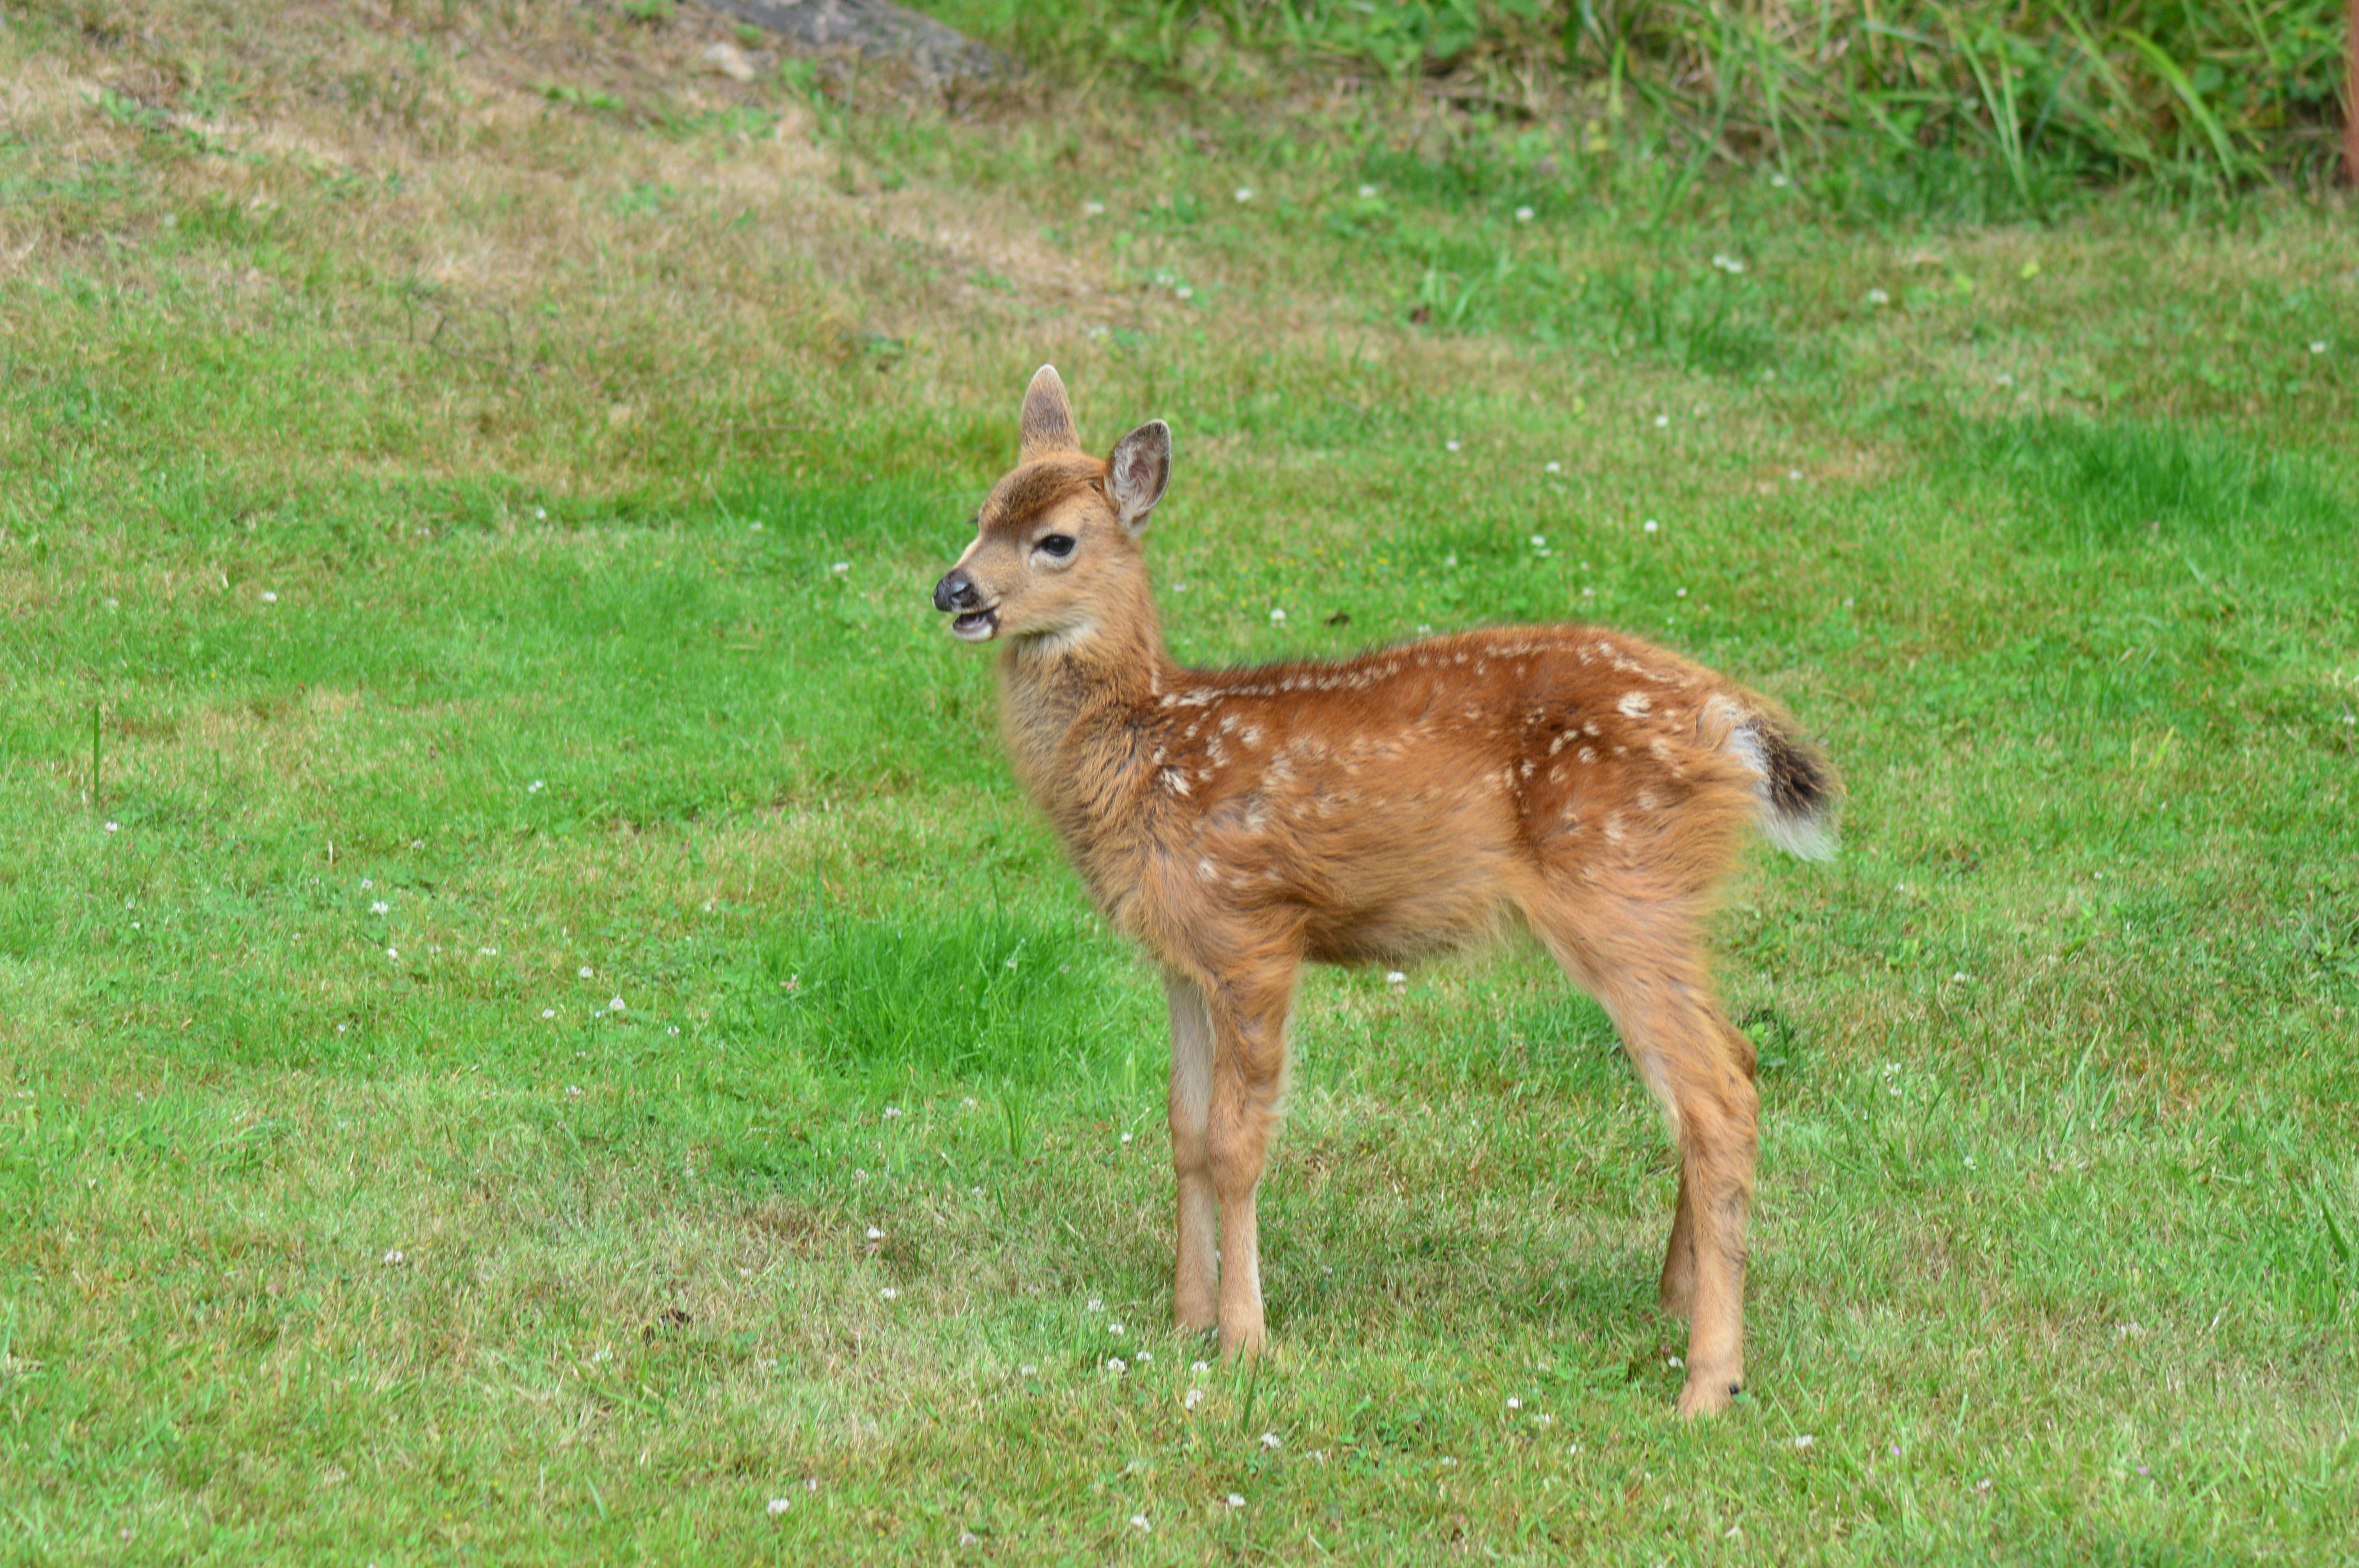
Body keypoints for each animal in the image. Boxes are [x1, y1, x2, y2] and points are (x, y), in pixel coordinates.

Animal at [931, 366, 1841, 1416]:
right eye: (979, 512)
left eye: (1056, 540)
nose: (952, 589)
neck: (1147, 752)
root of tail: (1732, 721)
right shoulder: (1180, 955)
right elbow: (1183, 1129)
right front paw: (1185, 1319)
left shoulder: (1252, 928)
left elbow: (1239, 1141)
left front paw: (1244, 1341)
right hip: (1656, 900)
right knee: (1732, 1061)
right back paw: (1668, 1299)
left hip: (1620, 885)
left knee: (1715, 1095)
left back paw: (1706, 1380)